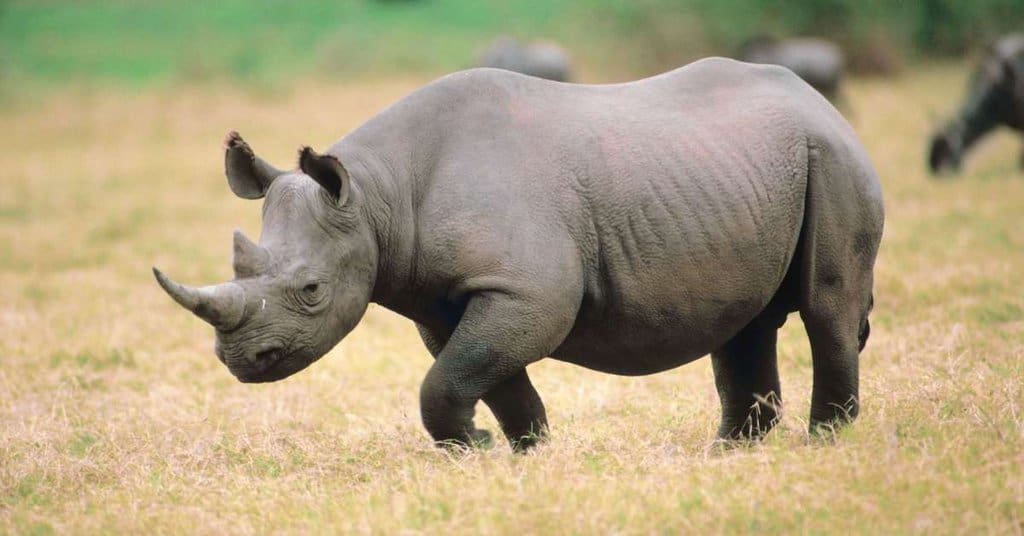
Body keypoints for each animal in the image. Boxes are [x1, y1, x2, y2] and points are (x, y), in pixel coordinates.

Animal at [154, 58, 884, 451]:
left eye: (310, 291)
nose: (243, 362)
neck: (376, 197)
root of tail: (815, 98)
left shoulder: (527, 291)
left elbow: (449, 379)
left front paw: (478, 448)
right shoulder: (451, 300)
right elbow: (481, 377)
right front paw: (523, 455)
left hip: (833, 156)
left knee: (827, 307)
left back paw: (825, 444)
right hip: (751, 171)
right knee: (746, 322)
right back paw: (728, 457)